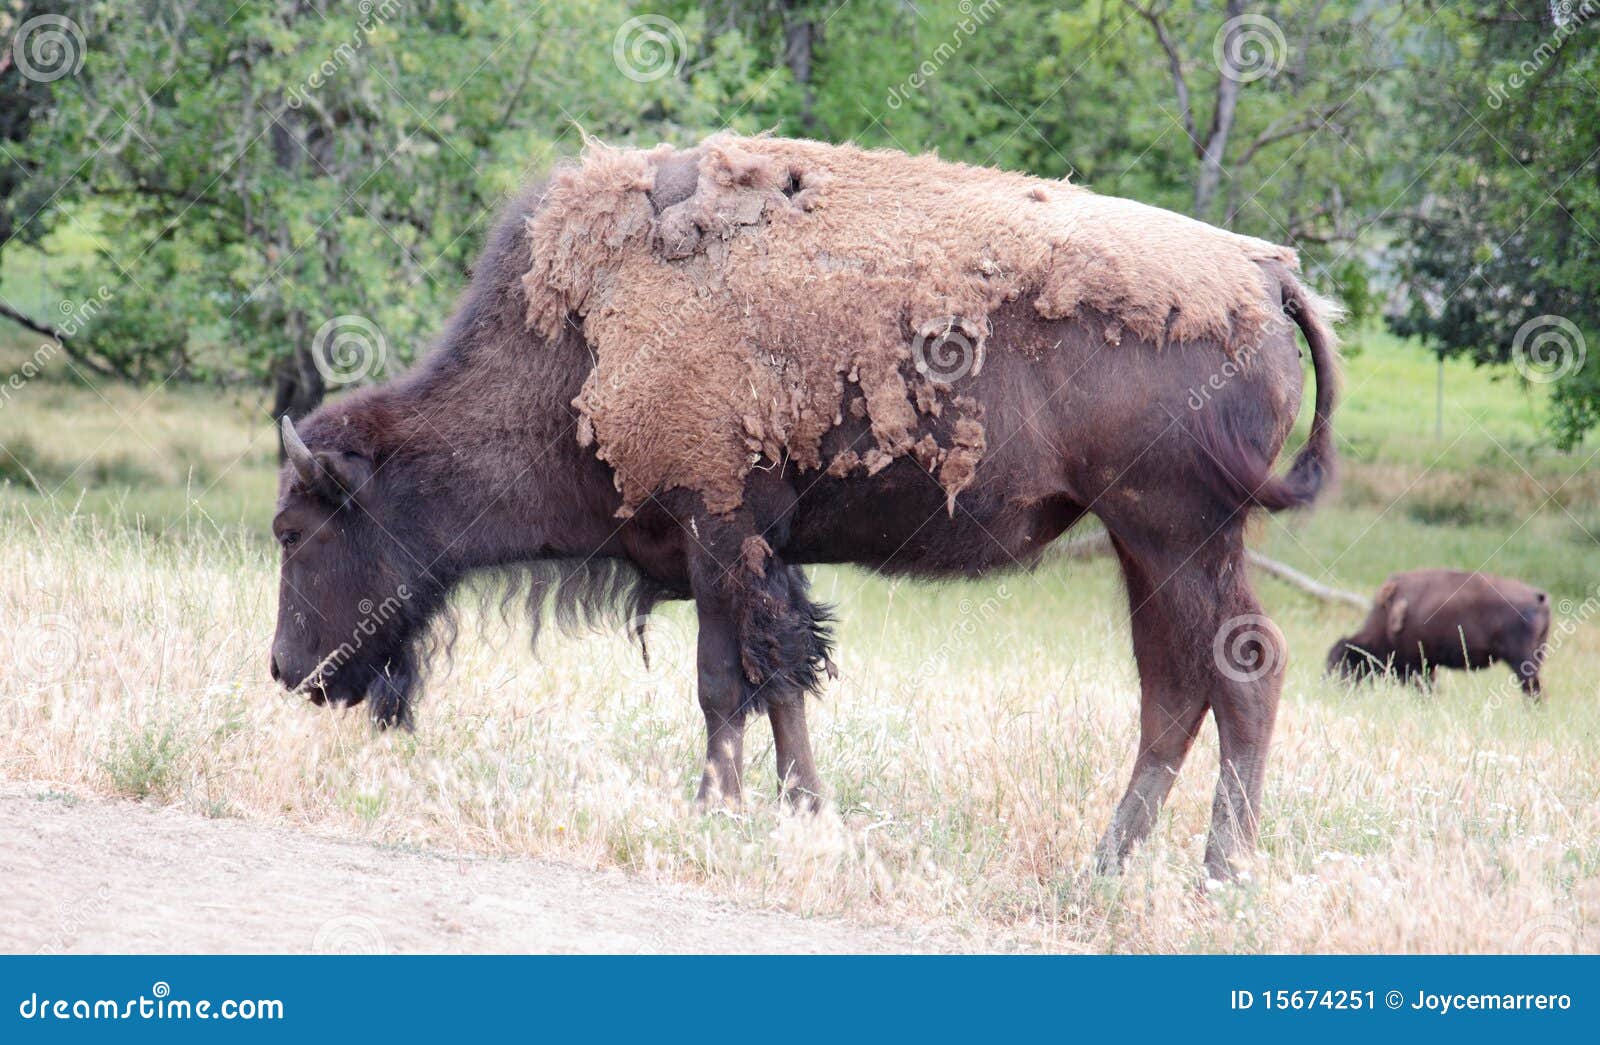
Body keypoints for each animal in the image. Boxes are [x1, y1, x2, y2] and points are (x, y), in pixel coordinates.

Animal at [268, 137, 1340, 880]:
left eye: (295, 530)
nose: (285, 670)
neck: (582, 335)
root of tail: (1264, 274)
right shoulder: (761, 555)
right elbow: (781, 676)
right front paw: (808, 815)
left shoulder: (718, 532)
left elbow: (721, 681)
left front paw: (714, 811)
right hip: (1141, 542)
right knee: (1173, 688)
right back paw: (1105, 866)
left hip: (1178, 532)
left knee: (1239, 670)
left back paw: (1219, 874)